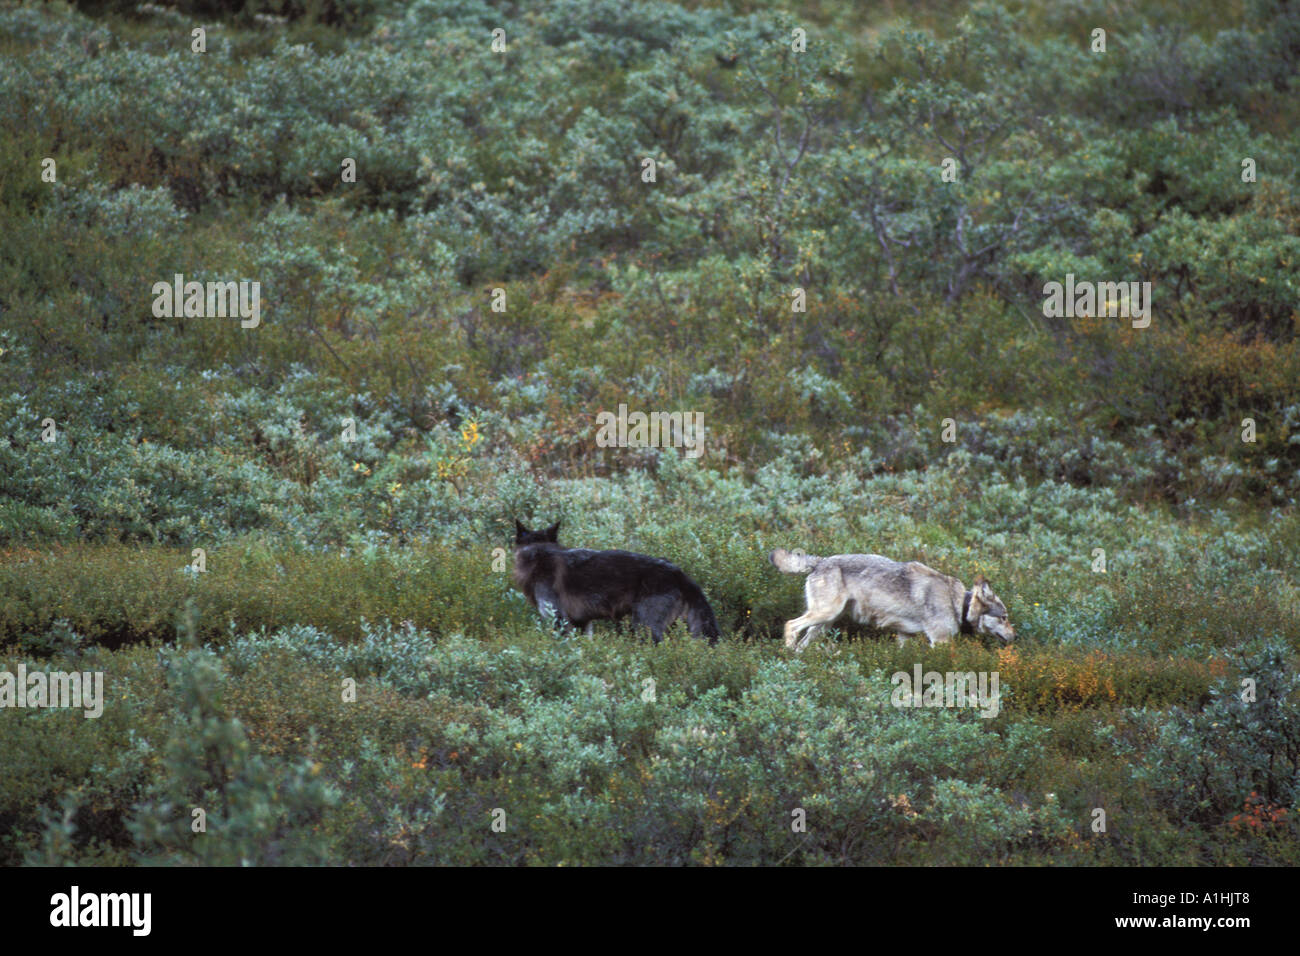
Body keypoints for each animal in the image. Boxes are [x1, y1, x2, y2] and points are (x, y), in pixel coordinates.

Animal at [770, 548, 1016, 651]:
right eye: (1004, 617)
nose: (1016, 636)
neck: (958, 605)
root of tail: (820, 561)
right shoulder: (940, 642)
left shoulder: (904, 636)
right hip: (823, 615)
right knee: (790, 625)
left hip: (823, 625)